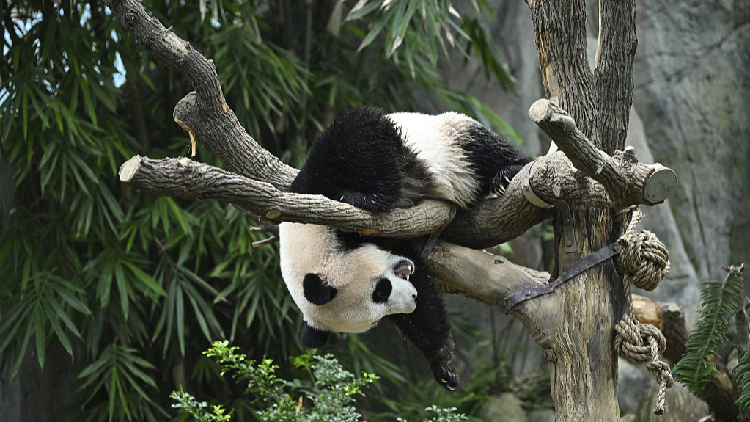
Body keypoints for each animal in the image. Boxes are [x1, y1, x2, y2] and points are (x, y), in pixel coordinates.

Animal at [279, 106, 530, 390]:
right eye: (377, 317)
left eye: (380, 290)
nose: (411, 300)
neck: (312, 235)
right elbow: (423, 299)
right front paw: (442, 361)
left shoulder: (319, 177)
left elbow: (362, 134)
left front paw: (367, 198)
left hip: (451, 136)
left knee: (482, 148)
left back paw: (507, 173)